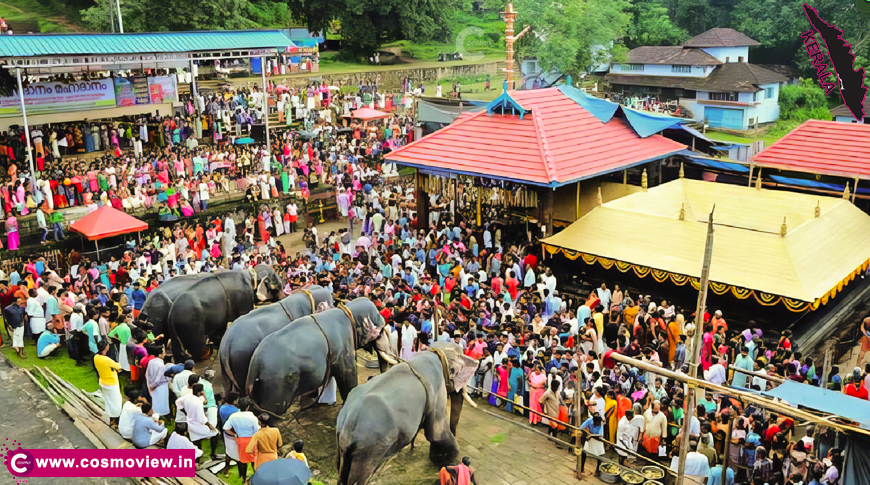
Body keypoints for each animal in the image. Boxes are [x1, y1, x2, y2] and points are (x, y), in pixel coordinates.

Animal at [245, 296, 402, 414]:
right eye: (380, 331)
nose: (373, 377)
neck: (348, 311)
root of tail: (254, 364)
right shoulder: (343, 346)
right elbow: (347, 375)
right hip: (277, 384)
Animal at [338, 340, 480, 484]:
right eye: (455, 371)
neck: (435, 351)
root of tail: (349, 420)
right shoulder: (437, 391)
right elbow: (436, 434)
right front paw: (451, 461)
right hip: (370, 445)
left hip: (346, 443)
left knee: (343, 468)